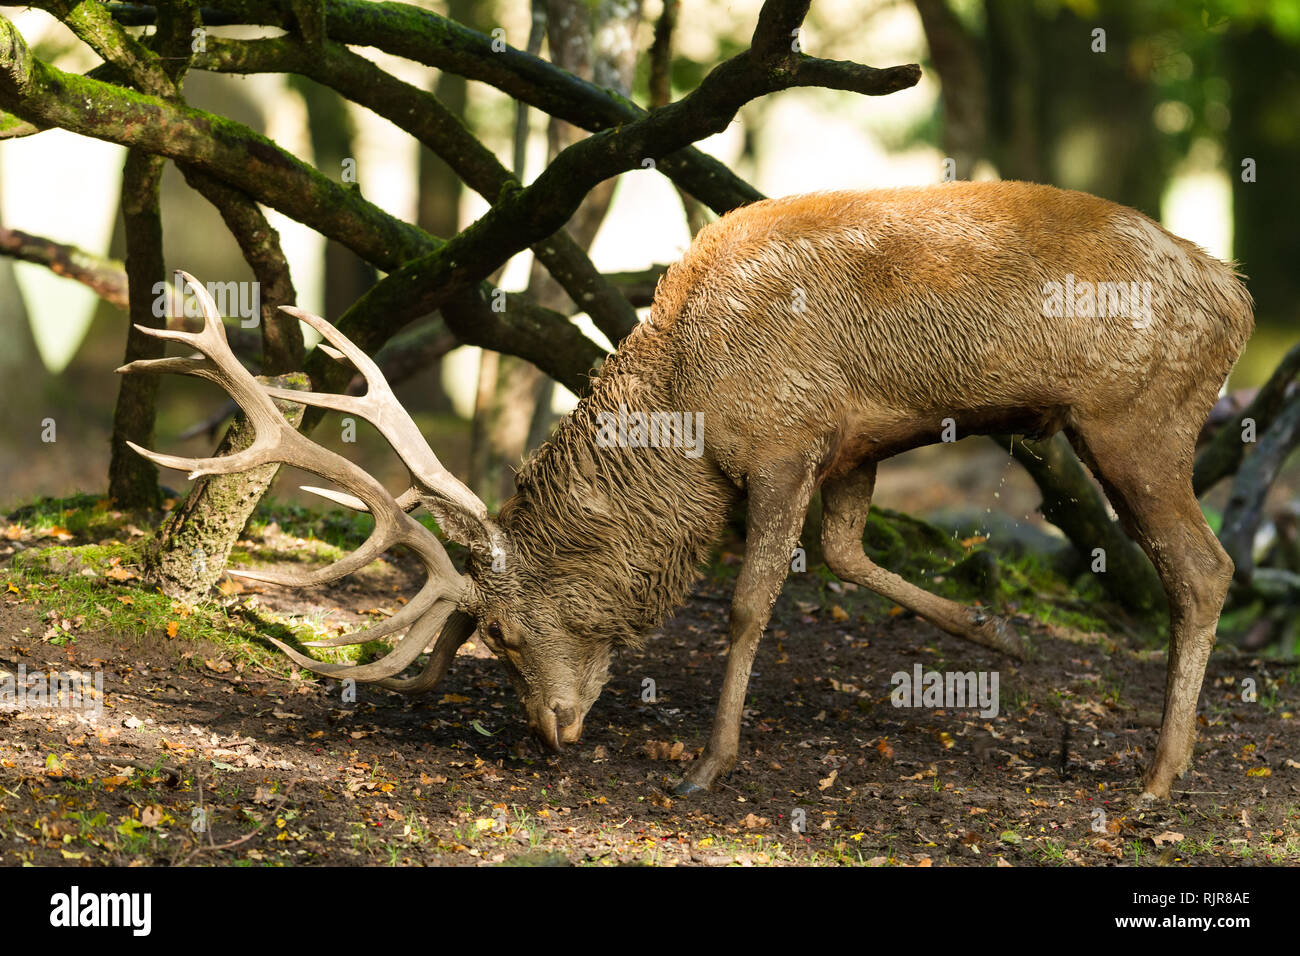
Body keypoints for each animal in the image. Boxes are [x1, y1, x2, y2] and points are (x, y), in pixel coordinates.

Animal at [122, 180, 1254, 802]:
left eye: (504, 633)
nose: (552, 731)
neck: (686, 398)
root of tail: (1236, 295)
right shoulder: (853, 438)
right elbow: (847, 550)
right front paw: (996, 633)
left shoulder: (785, 436)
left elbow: (752, 600)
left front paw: (709, 763)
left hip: (1138, 418)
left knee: (1208, 568)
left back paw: (1159, 775)